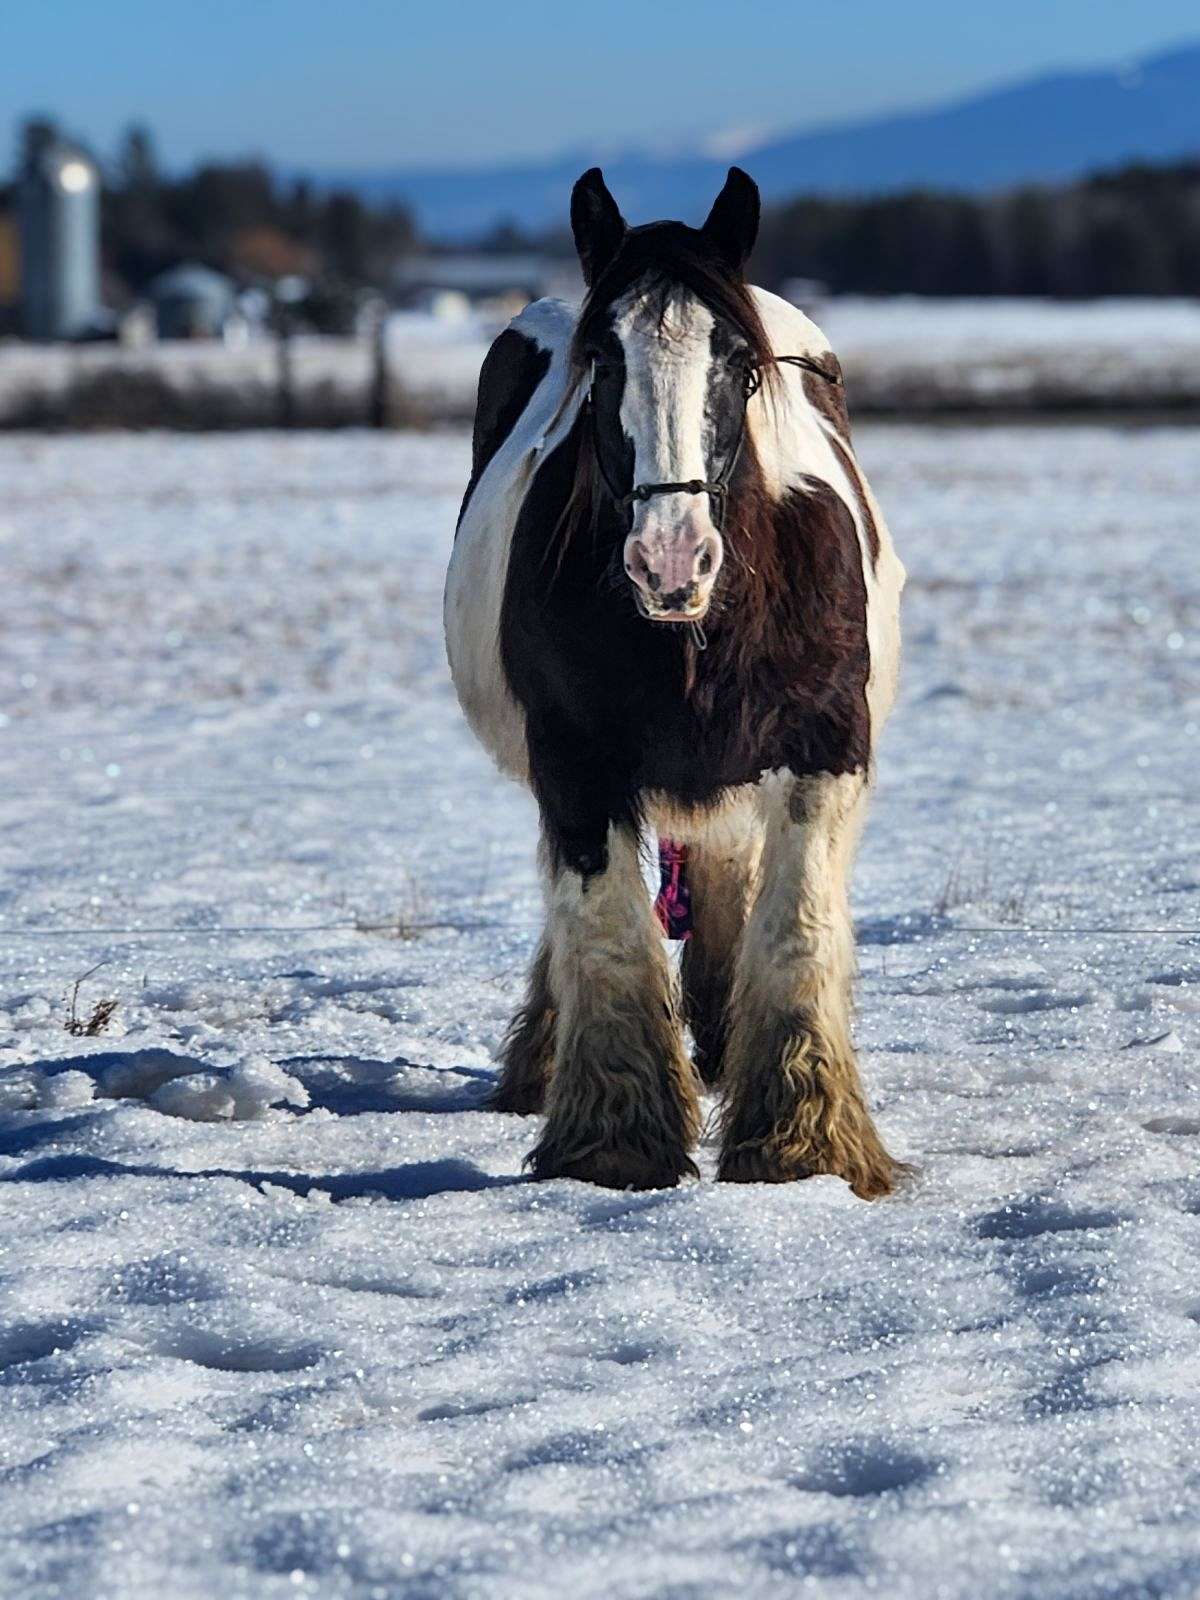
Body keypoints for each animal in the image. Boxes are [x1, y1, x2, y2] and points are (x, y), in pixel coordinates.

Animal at [445, 166, 906, 1197]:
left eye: (738, 360)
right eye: (603, 362)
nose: (670, 559)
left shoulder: (823, 748)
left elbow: (796, 924)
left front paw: (801, 1145)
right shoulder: (575, 762)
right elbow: (607, 928)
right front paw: (615, 1140)